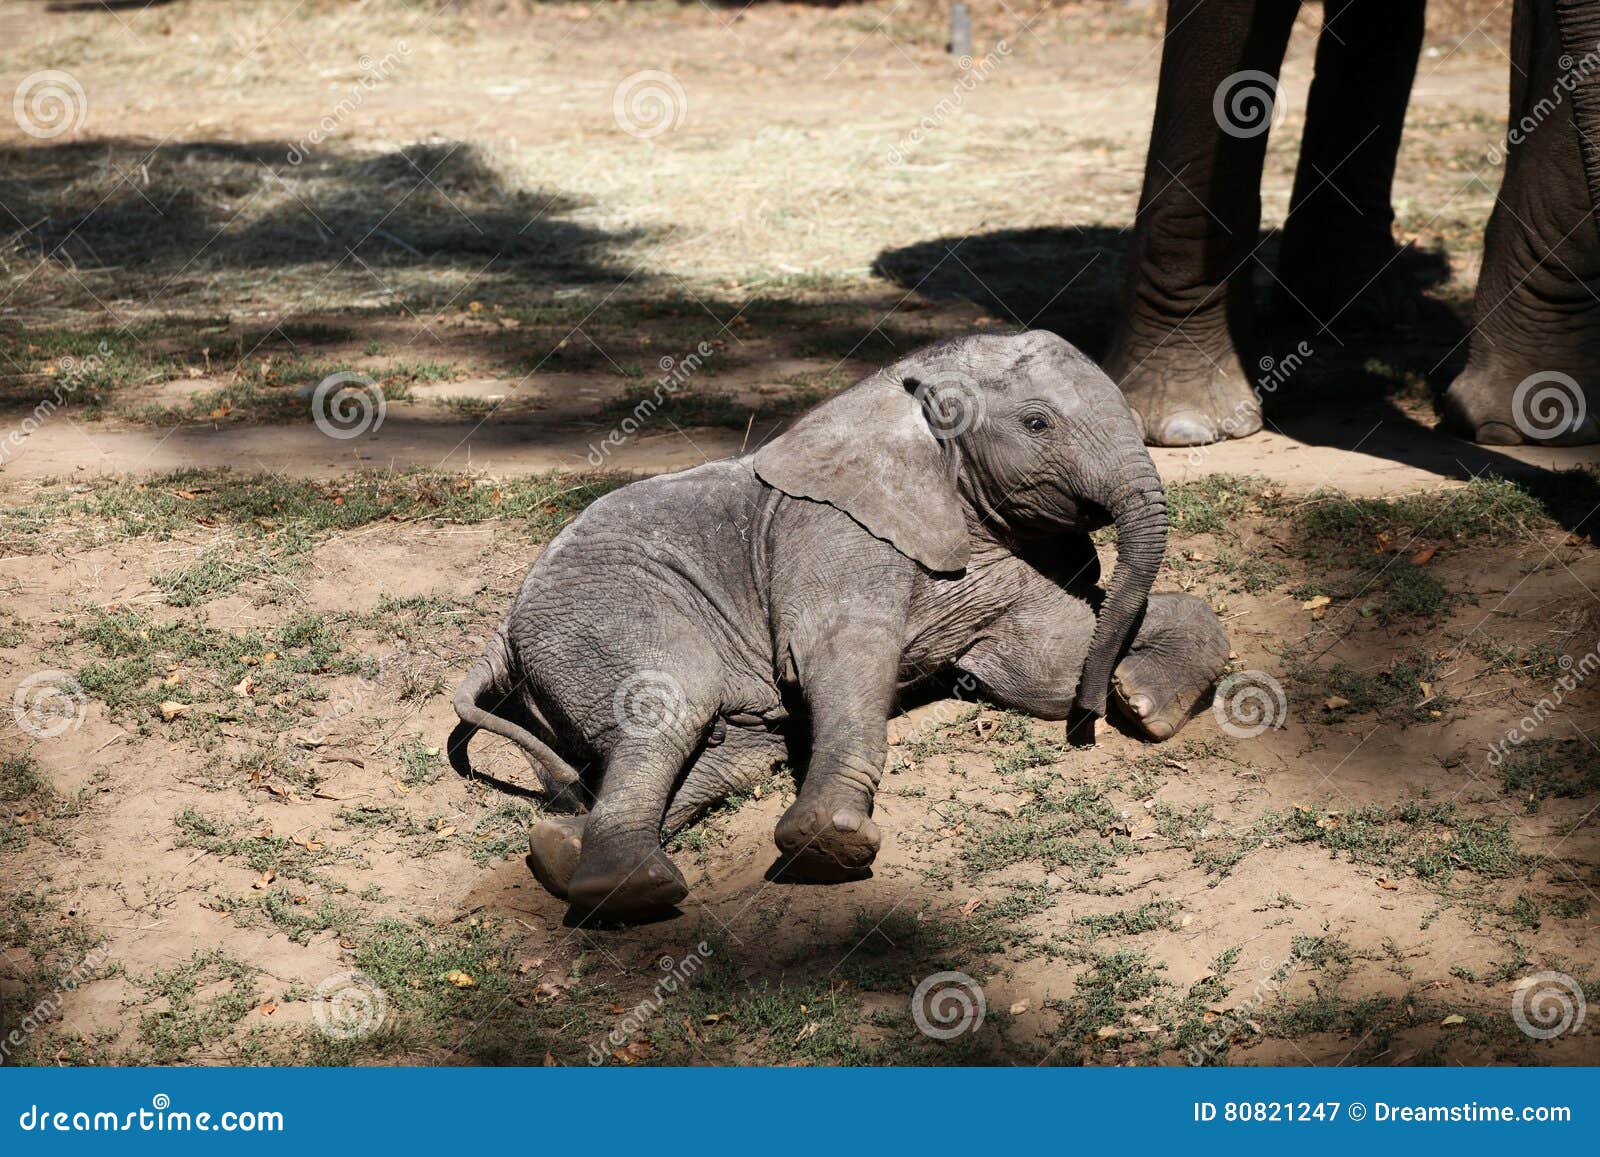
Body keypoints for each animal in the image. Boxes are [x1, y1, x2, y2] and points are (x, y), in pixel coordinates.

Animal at [449, 331, 1231, 921]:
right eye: (1037, 423)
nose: (1092, 723)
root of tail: (503, 629)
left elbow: (1048, 663)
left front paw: (1145, 703)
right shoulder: (833, 532)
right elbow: (841, 660)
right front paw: (830, 845)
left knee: (733, 751)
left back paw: (559, 850)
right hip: (603, 609)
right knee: (668, 709)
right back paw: (629, 888)